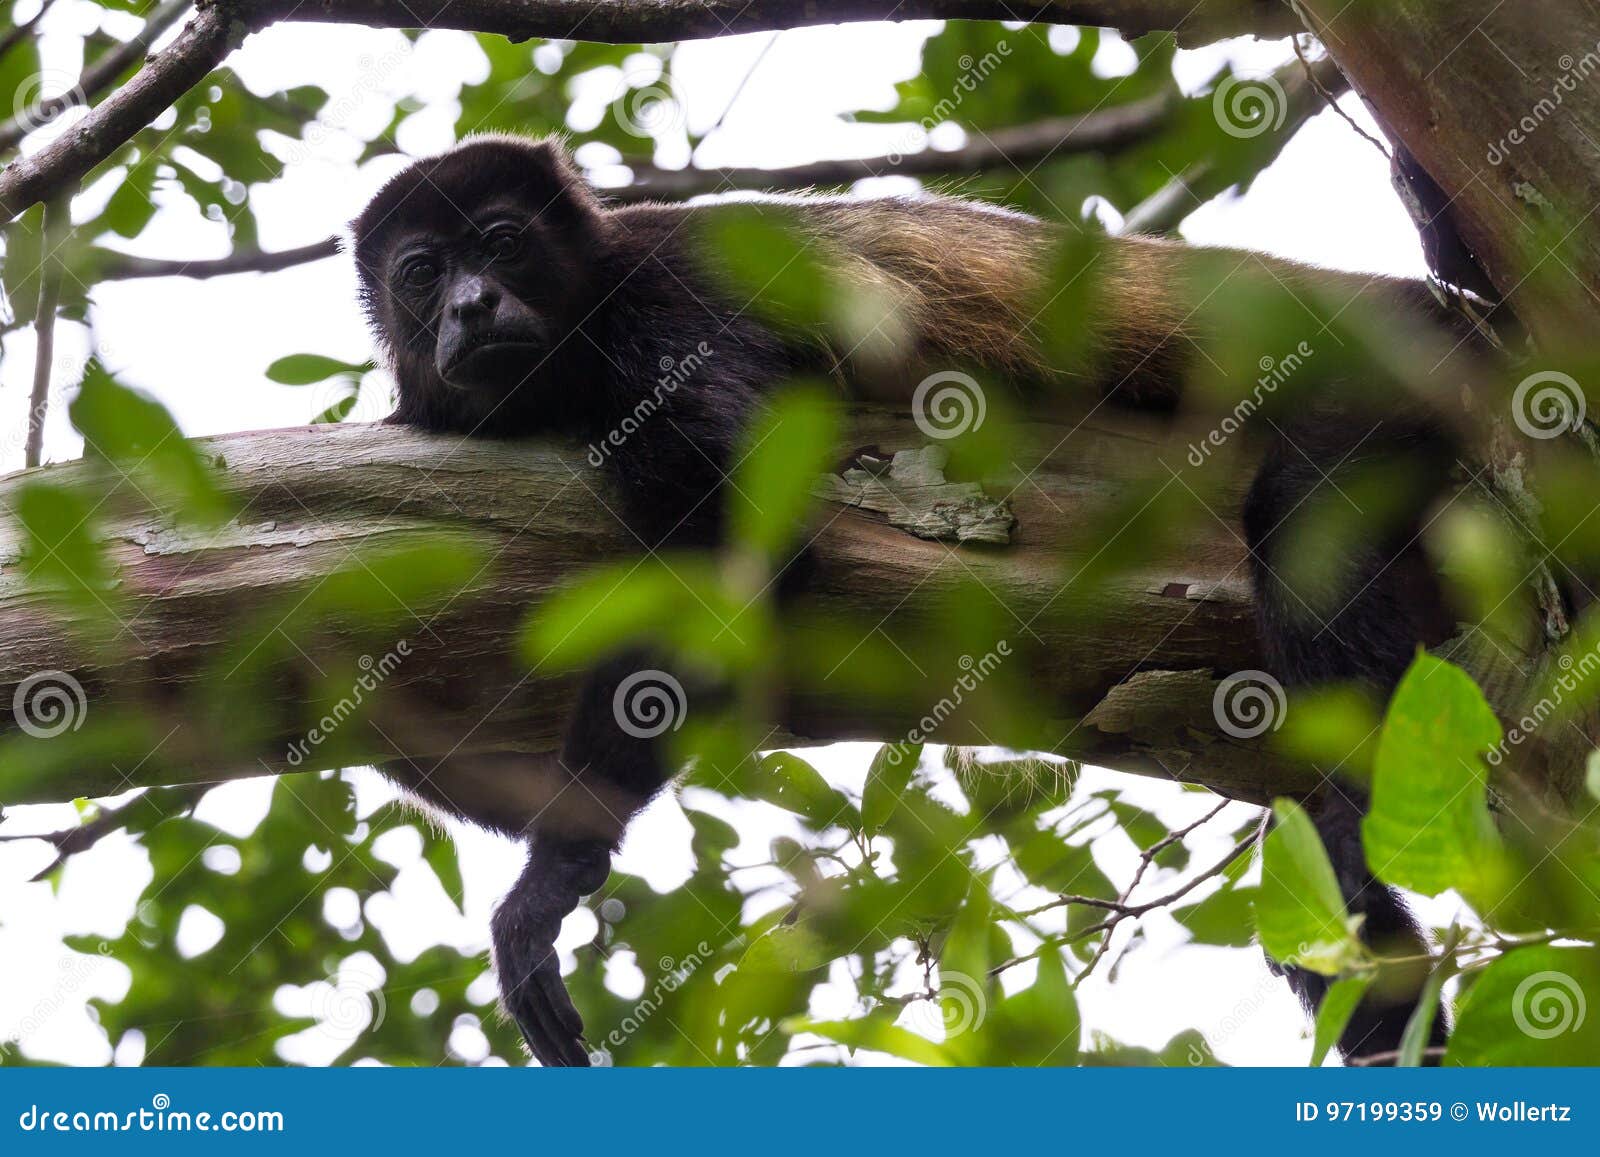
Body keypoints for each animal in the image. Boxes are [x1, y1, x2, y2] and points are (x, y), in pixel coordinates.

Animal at [351, 133, 1497, 1067]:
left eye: (500, 244)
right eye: (422, 273)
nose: (470, 306)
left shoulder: (673, 305)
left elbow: (736, 554)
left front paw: (547, 883)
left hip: (1382, 367)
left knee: (1306, 542)